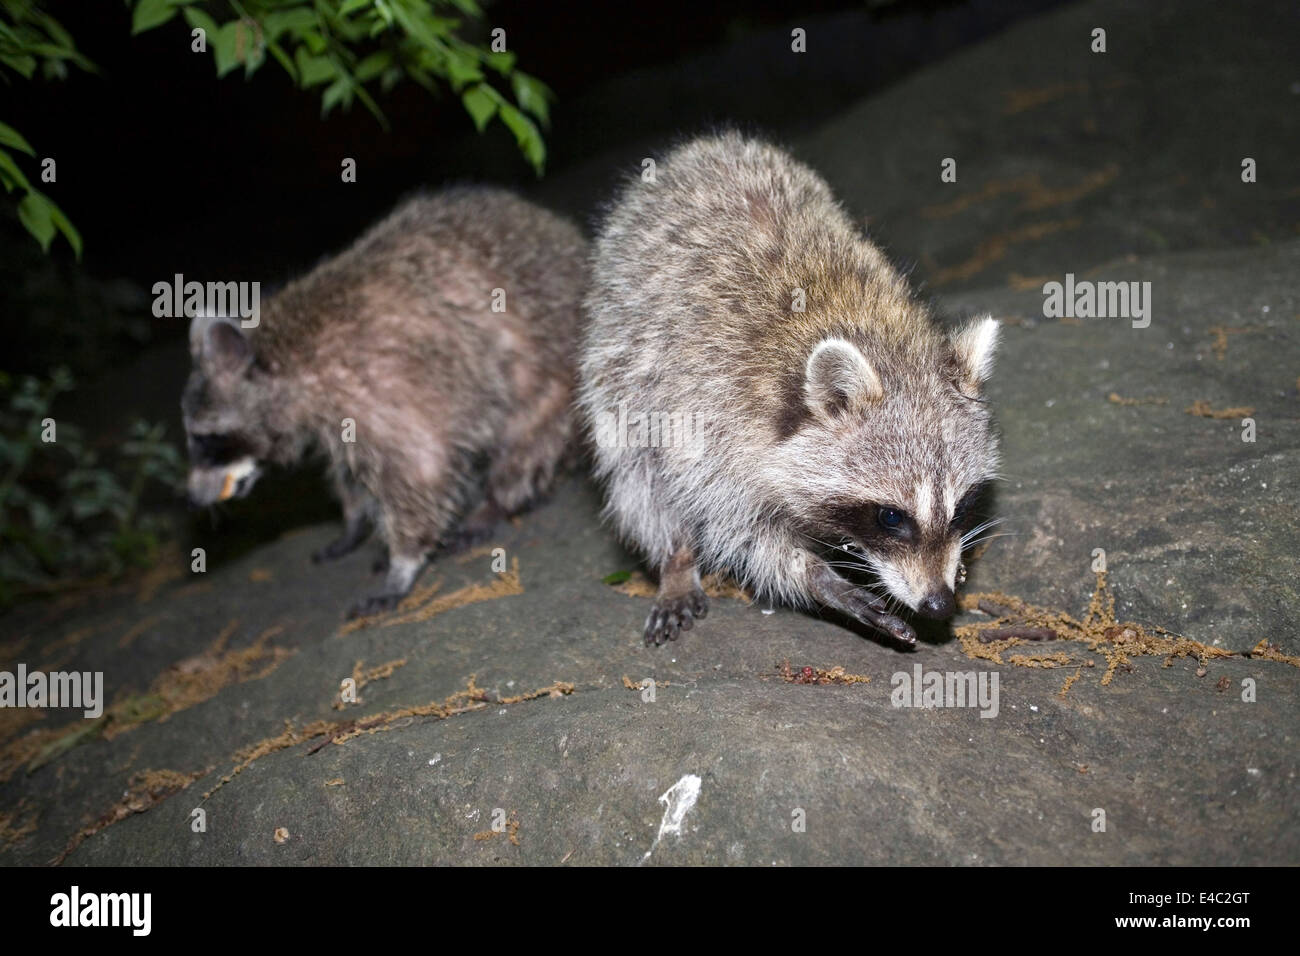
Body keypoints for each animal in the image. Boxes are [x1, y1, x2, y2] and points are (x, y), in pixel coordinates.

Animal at [183, 187, 587, 617]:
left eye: (205, 439)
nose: (190, 499)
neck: (282, 356)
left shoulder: (381, 385)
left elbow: (422, 465)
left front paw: (402, 564)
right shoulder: (339, 417)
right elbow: (348, 470)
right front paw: (355, 520)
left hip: (551, 360)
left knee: (529, 435)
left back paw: (495, 502)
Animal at [578, 133, 1000, 647]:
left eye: (961, 509)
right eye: (891, 517)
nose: (938, 603)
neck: (874, 334)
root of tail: (707, 146)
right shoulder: (709, 419)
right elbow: (738, 531)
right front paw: (815, 577)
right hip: (616, 354)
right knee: (636, 473)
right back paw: (675, 558)